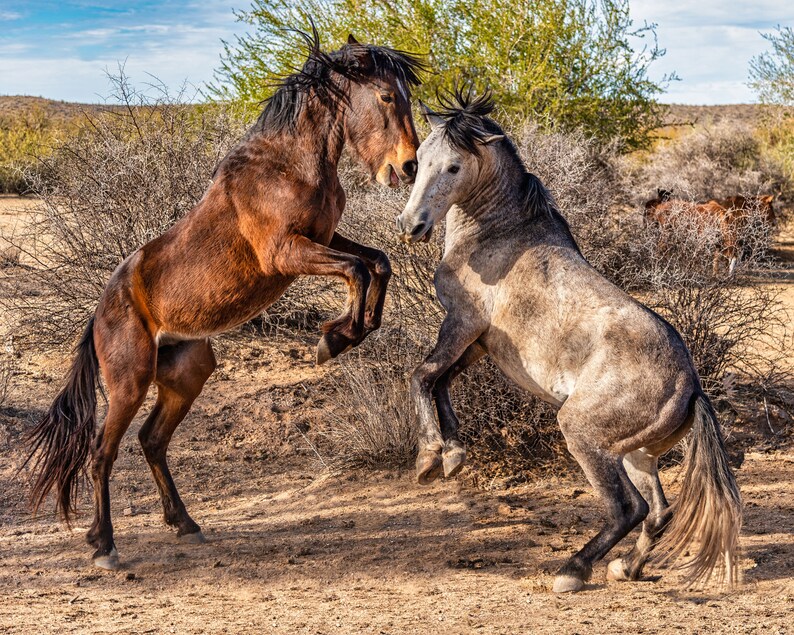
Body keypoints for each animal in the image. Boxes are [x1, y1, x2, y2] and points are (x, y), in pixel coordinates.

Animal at [25, 29, 424, 570]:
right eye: (385, 96)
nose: (409, 165)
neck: (289, 163)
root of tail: (97, 316)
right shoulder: (285, 253)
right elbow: (360, 269)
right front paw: (335, 338)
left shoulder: (325, 237)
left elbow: (378, 263)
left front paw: (344, 335)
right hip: (129, 382)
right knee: (101, 453)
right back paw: (104, 545)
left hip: (188, 372)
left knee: (152, 441)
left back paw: (185, 524)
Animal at [396, 89, 741, 593]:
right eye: (419, 159)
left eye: (454, 167)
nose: (411, 226)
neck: (500, 234)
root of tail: (691, 387)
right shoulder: (479, 343)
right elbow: (441, 381)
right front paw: (454, 454)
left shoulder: (461, 323)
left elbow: (422, 375)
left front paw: (428, 458)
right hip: (636, 454)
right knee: (659, 512)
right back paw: (626, 569)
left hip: (582, 434)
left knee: (629, 508)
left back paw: (572, 571)